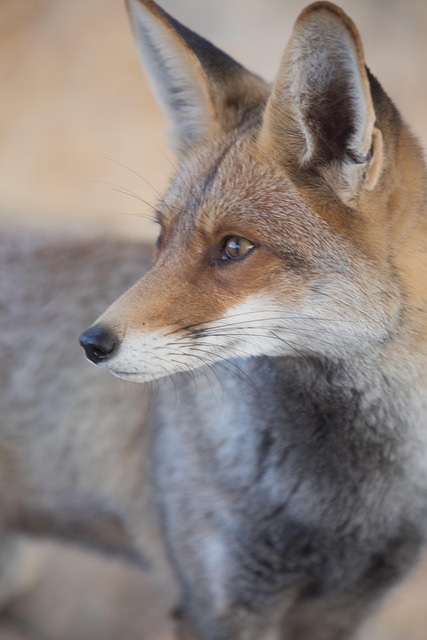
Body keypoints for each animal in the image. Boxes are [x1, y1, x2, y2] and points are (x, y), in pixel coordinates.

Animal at [1, 0, 427, 639]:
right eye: (161, 237)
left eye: (233, 247)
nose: (91, 343)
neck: (345, 506)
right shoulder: (216, 603)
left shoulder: (342, 610)